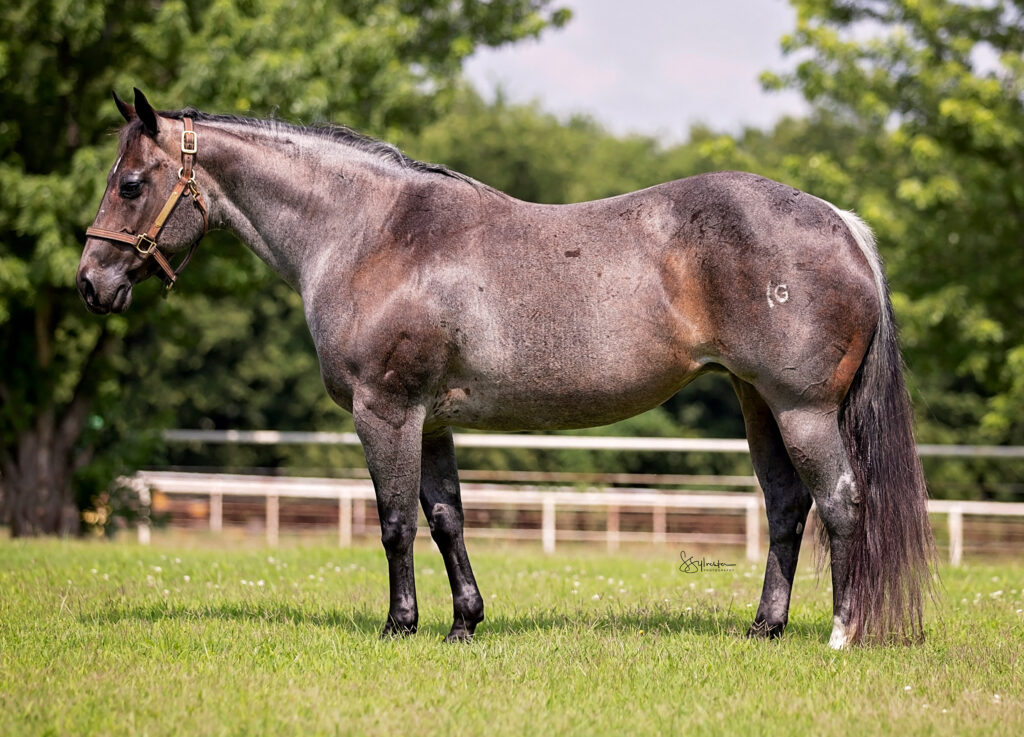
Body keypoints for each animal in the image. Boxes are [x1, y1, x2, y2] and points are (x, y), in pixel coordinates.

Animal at [78, 89, 934, 647]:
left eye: (131, 183)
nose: (91, 282)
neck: (373, 234)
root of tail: (840, 222)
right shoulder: (430, 420)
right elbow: (446, 516)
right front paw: (464, 621)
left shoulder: (384, 410)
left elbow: (394, 521)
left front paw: (399, 625)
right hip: (758, 404)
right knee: (788, 508)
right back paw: (764, 627)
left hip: (801, 409)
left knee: (841, 501)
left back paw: (842, 633)